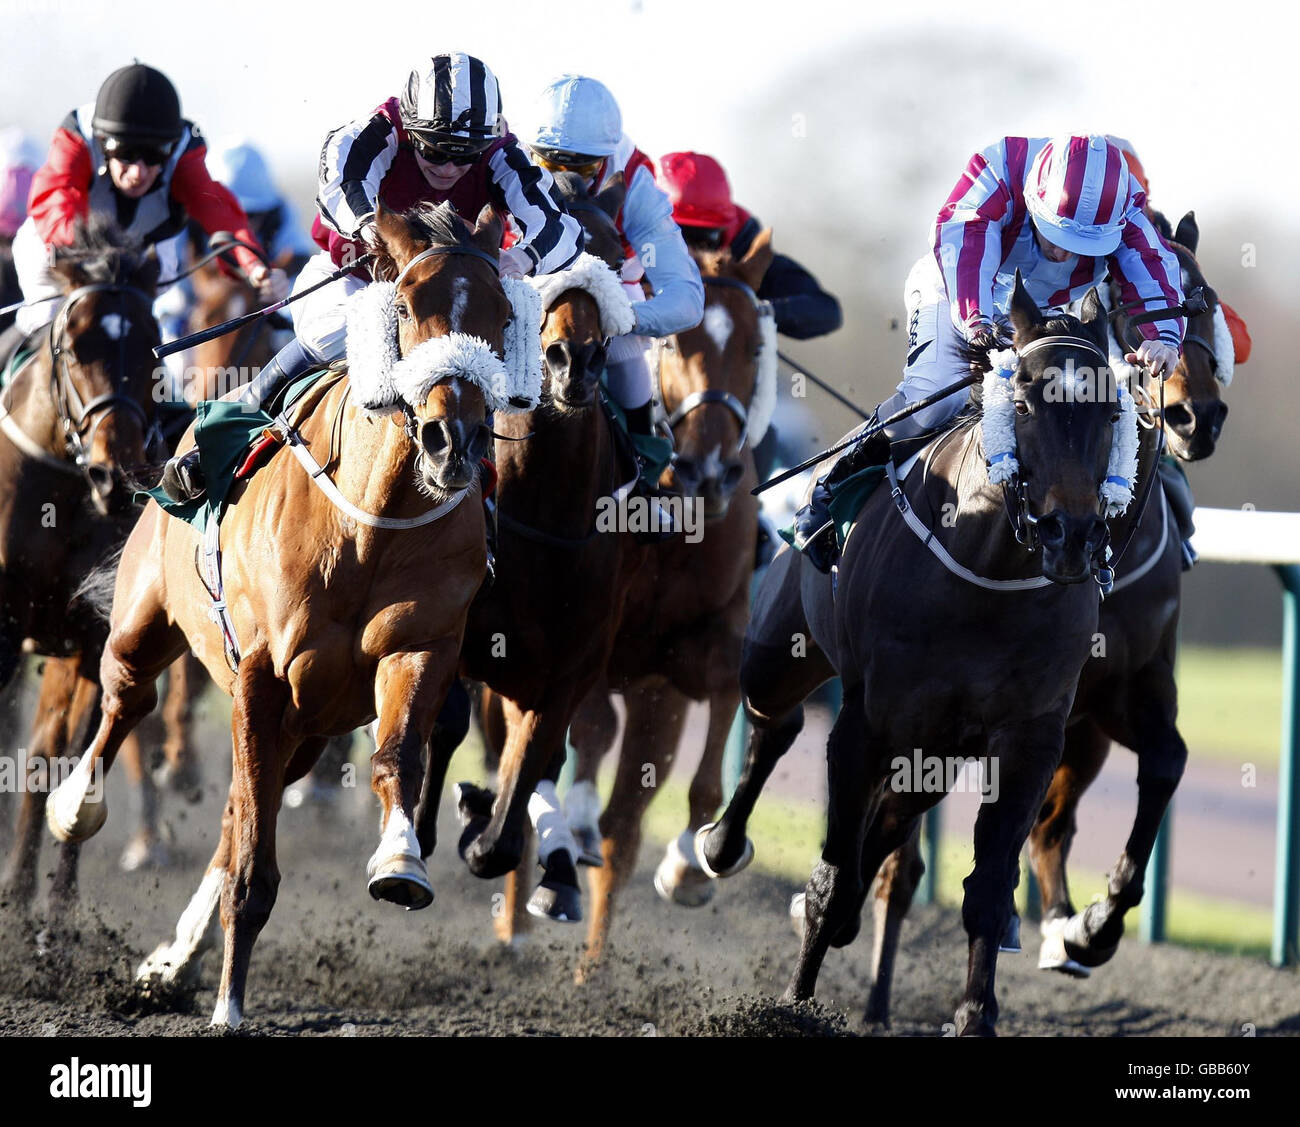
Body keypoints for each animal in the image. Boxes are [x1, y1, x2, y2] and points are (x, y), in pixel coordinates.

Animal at [44, 200, 509, 1028]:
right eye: (406, 306)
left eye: (503, 314)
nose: (452, 441)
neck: (367, 521)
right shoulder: (261, 674)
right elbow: (252, 864)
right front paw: (229, 1005)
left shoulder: (415, 647)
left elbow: (396, 756)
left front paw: (400, 858)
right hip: (146, 624)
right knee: (127, 699)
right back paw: (74, 809)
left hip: (308, 722)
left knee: (236, 808)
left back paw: (174, 959)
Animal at [433, 171, 647, 931]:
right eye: (521, 253)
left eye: (612, 254)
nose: (572, 358)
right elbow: (449, 720)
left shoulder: (572, 669)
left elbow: (534, 761)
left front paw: (494, 833)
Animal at [567, 233, 774, 976]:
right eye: (676, 342)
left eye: (754, 347)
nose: (709, 470)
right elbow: (587, 722)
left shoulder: (698, 650)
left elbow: (726, 697)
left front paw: (689, 863)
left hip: (658, 703)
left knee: (624, 829)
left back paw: (589, 971)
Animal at [695, 276, 1159, 1034]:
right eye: (1022, 401)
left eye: (1110, 409)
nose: (1072, 533)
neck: (986, 572)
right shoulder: (867, 721)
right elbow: (830, 877)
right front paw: (793, 1007)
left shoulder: (1027, 738)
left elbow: (988, 886)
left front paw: (974, 1014)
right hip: (780, 654)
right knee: (774, 723)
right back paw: (718, 846)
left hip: (935, 750)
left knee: (887, 824)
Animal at [858, 214, 1234, 1022]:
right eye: (1131, 307)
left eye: (1204, 304)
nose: (1198, 415)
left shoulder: (1118, 688)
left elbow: (1164, 763)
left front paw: (1091, 925)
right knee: (901, 861)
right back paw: (873, 994)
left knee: (1050, 823)